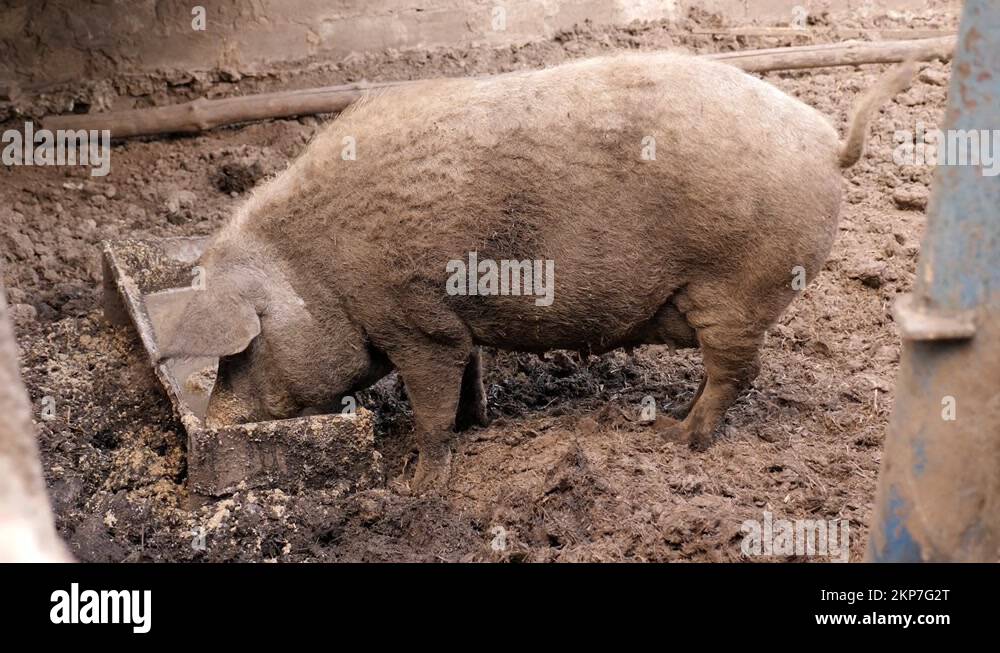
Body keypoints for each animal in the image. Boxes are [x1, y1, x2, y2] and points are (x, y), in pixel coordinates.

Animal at [161, 52, 916, 493]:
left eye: (242, 352)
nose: (213, 422)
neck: (322, 269)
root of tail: (829, 144)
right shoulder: (452, 322)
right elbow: (468, 376)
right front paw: (478, 427)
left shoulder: (418, 321)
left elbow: (430, 406)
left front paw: (418, 486)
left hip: (740, 287)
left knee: (736, 373)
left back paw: (674, 437)